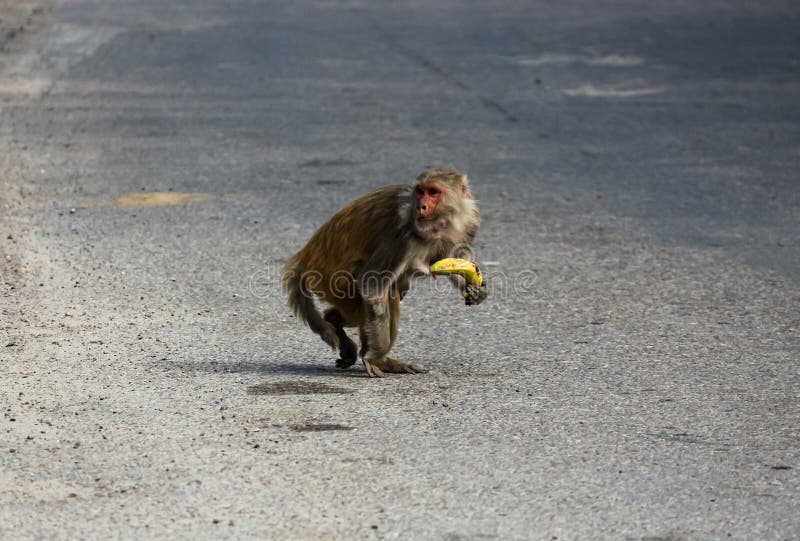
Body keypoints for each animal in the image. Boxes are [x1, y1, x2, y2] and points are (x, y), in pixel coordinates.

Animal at [282, 166, 487, 377]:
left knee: (392, 291)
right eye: (421, 191)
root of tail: (306, 254)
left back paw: (337, 323)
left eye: (433, 192)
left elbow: (452, 259)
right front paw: (374, 355)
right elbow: (372, 286)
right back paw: (379, 358)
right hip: (332, 281)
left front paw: (473, 288)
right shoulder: (403, 237)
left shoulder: (469, 222)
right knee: (382, 296)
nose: (421, 207)